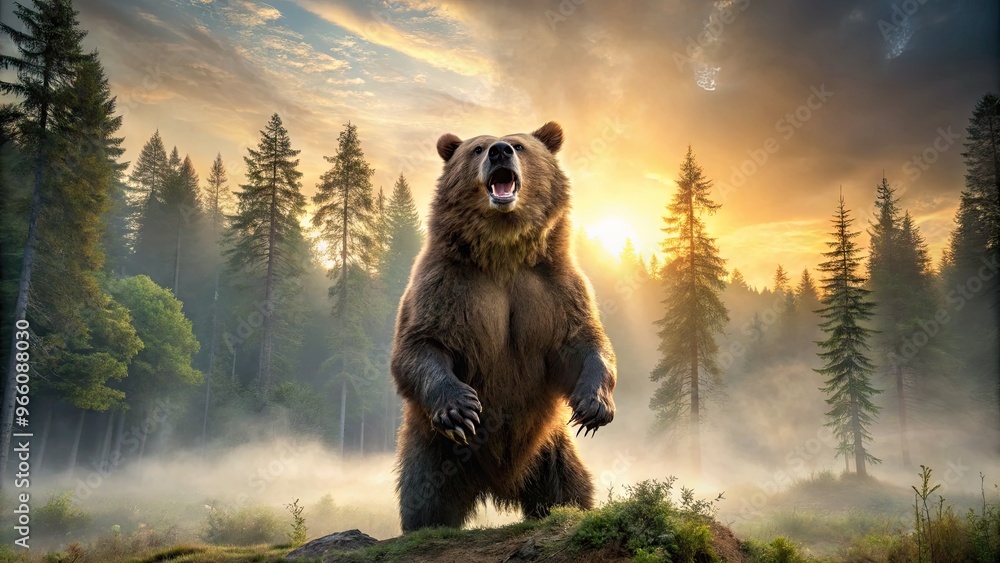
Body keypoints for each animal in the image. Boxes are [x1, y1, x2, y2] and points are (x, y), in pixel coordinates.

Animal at [391, 121, 617, 532]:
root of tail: (497, 483)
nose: (499, 151)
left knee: (568, 487)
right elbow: (421, 344)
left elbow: (583, 342)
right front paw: (460, 408)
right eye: (477, 149)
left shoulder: (554, 287)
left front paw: (593, 406)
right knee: (426, 497)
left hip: (548, 449)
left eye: (519, 145)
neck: (503, 252)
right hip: (435, 450)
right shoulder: (445, 285)